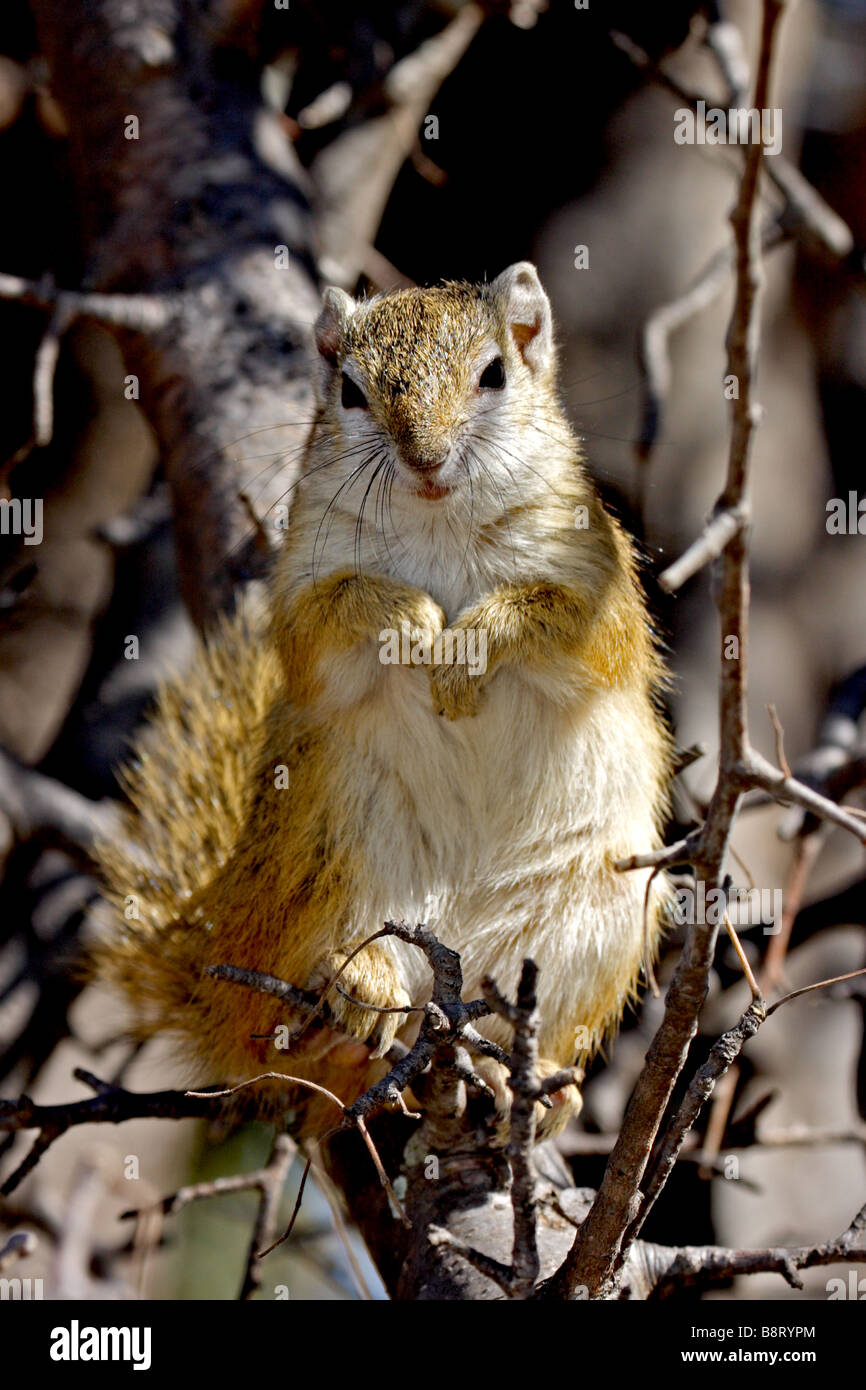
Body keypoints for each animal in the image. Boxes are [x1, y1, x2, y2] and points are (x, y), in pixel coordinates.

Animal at [92, 263, 672, 1140]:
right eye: (351, 391)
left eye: (495, 374)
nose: (426, 458)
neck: (438, 522)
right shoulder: (307, 588)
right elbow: (337, 616)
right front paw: (420, 624)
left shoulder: (598, 585)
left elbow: (564, 623)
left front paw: (468, 652)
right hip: (332, 868)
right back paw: (354, 1002)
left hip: (594, 918)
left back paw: (536, 1084)